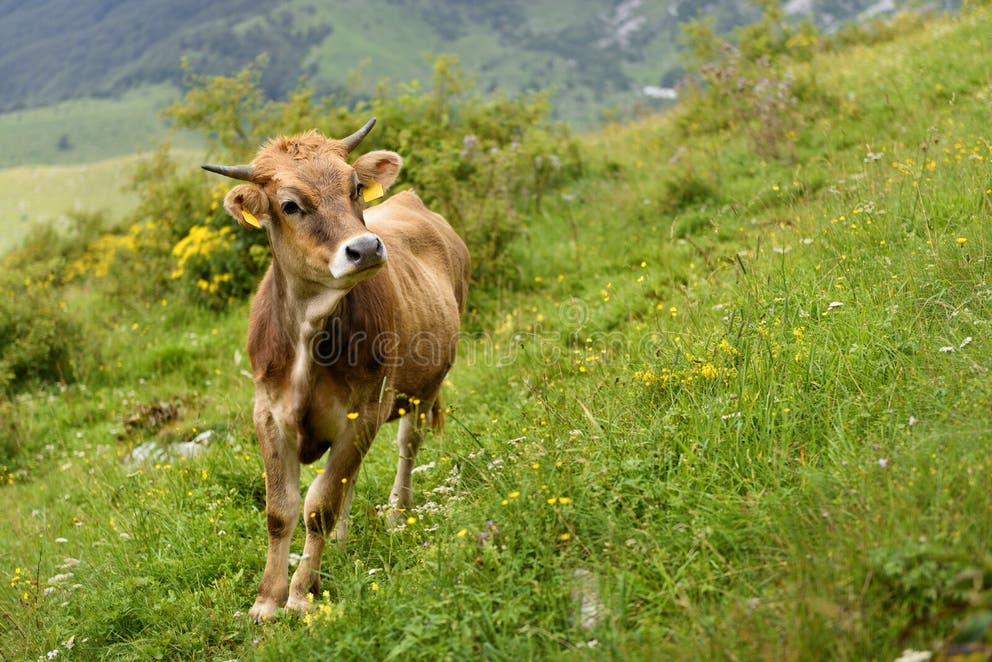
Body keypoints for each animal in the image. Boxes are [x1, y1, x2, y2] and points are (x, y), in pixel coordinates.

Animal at [202, 119, 470, 622]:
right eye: (290, 205)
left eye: (354, 189)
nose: (364, 248)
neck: (309, 334)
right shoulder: (267, 414)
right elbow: (281, 510)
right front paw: (266, 600)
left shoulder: (364, 409)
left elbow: (319, 505)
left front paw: (300, 594)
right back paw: (344, 541)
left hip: (424, 387)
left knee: (406, 447)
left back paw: (396, 513)